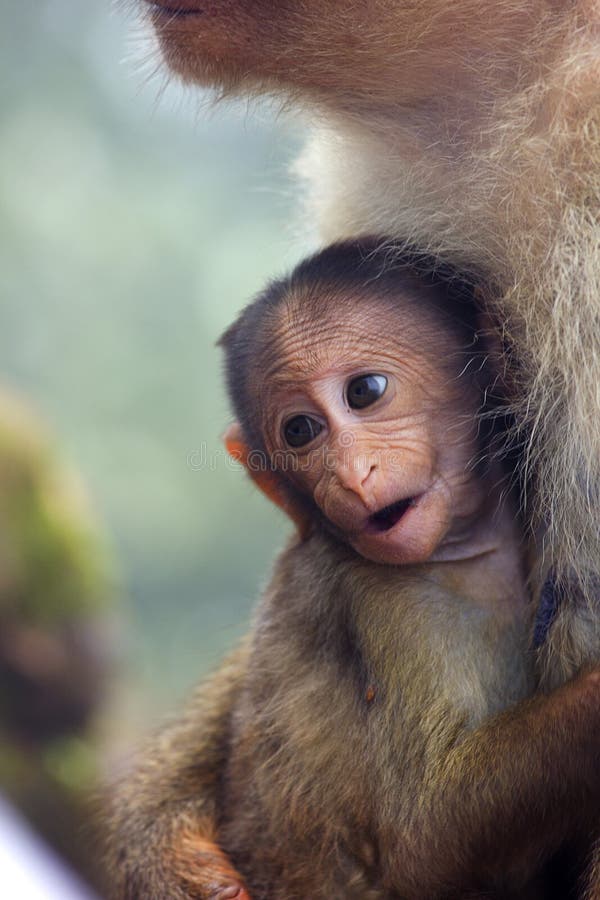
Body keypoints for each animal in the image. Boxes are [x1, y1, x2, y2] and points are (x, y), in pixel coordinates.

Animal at [105, 241, 600, 900]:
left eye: (365, 391)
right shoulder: (388, 603)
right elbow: (424, 836)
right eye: (300, 431)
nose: (348, 473)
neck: (463, 551)